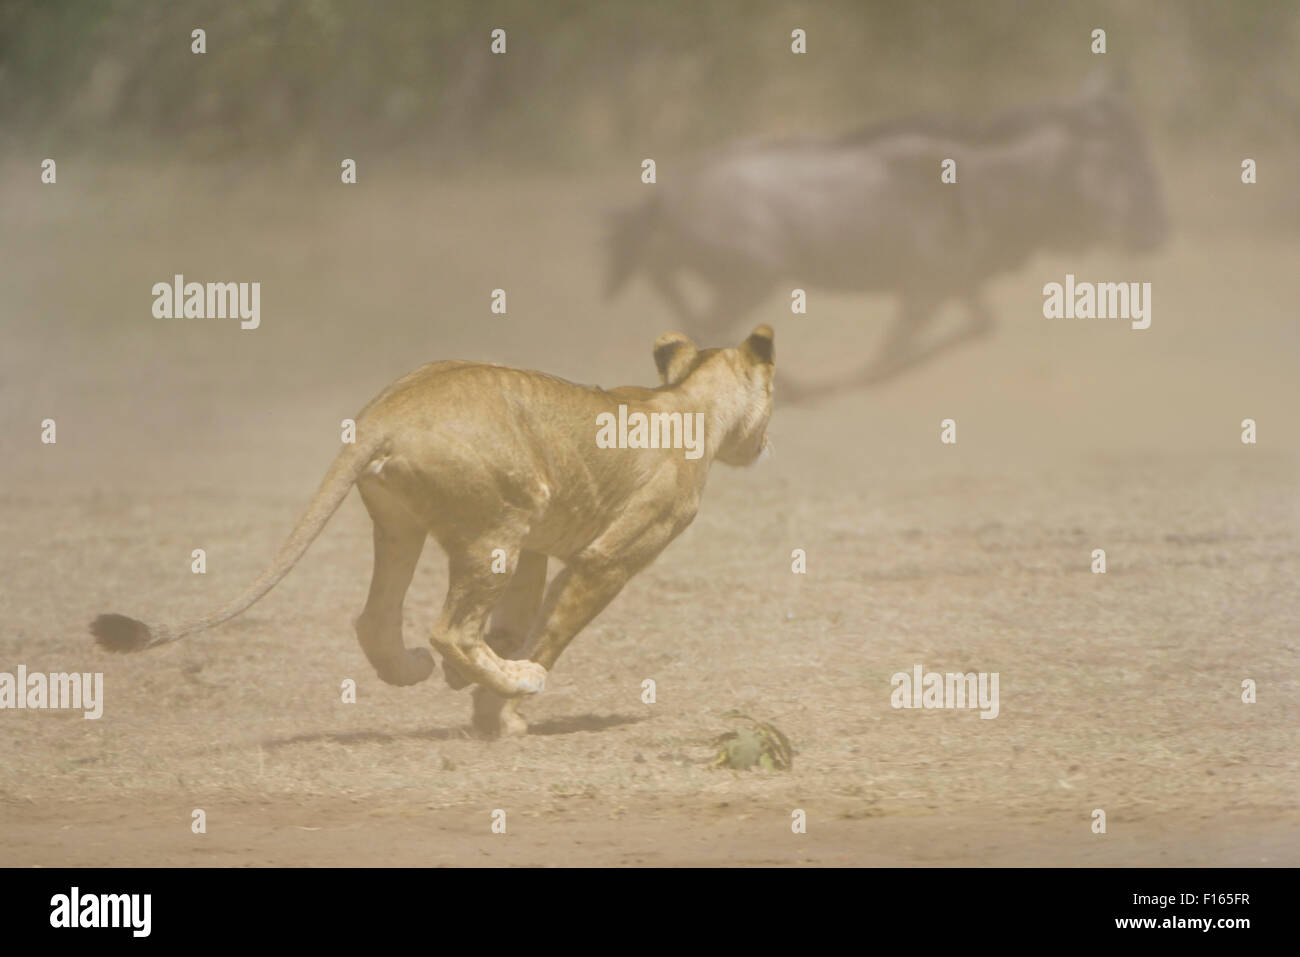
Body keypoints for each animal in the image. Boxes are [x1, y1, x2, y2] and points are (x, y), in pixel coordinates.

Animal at [91, 325, 775, 736]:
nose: (767, 446)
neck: (687, 400)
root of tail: (384, 410)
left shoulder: (537, 548)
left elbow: (522, 620)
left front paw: (483, 697)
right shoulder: (606, 557)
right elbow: (551, 631)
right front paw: (508, 705)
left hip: (412, 525)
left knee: (378, 619)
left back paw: (418, 670)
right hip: (505, 515)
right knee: (449, 628)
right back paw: (504, 674)